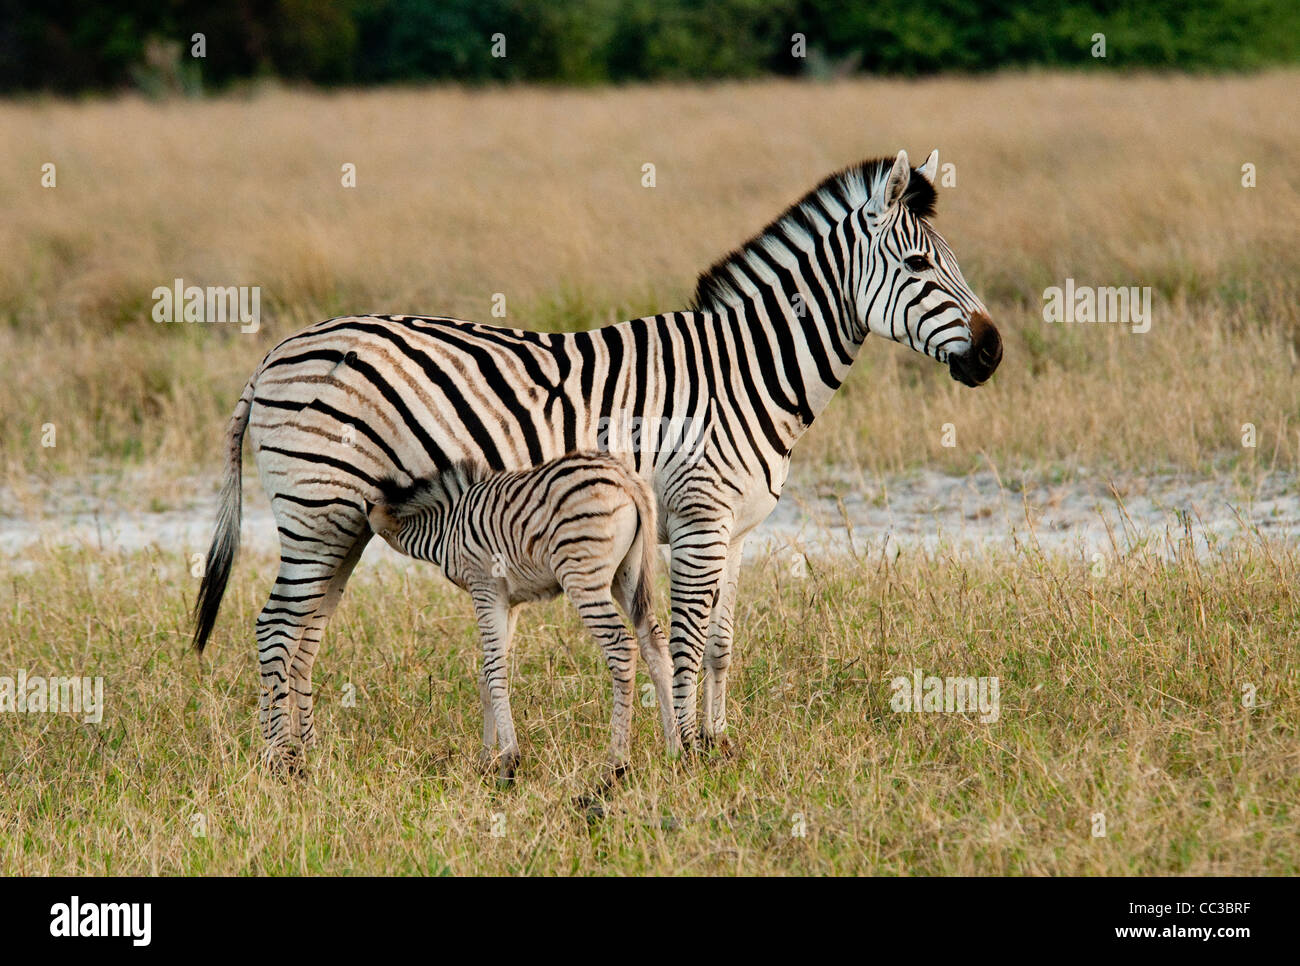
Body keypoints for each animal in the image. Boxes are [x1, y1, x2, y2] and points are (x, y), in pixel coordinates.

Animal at [365, 452, 680, 780]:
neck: (446, 526)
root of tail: (625, 477)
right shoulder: (509, 601)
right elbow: (487, 675)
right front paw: (485, 759)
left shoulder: (485, 588)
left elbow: (494, 671)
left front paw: (508, 762)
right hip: (627, 575)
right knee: (654, 645)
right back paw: (674, 750)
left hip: (582, 575)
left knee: (621, 648)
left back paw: (615, 764)